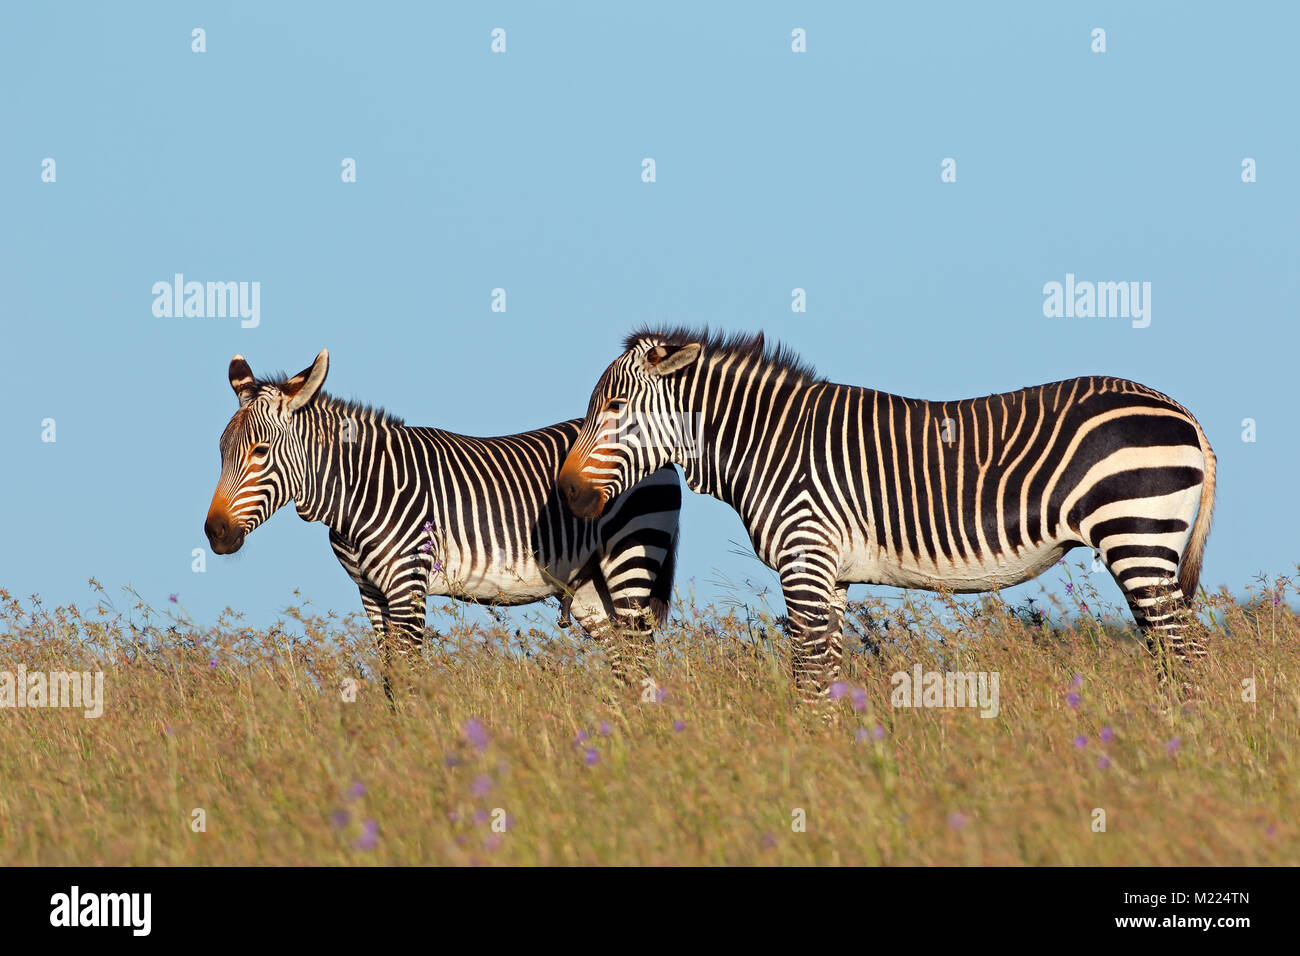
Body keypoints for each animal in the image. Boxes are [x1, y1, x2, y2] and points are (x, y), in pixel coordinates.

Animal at [203, 349, 681, 688]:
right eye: (221, 451)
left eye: (260, 451)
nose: (215, 533)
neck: (362, 490)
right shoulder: (370, 593)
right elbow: (390, 676)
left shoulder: (406, 585)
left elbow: (410, 675)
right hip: (587, 588)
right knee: (625, 660)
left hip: (631, 557)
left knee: (641, 654)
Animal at [557, 327, 1216, 701]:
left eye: (614, 407)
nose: (565, 494)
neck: (771, 445)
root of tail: (1183, 411)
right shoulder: (831, 574)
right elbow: (827, 671)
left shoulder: (804, 560)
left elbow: (807, 674)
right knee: (1178, 649)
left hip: (1137, 536)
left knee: (1186, 652)